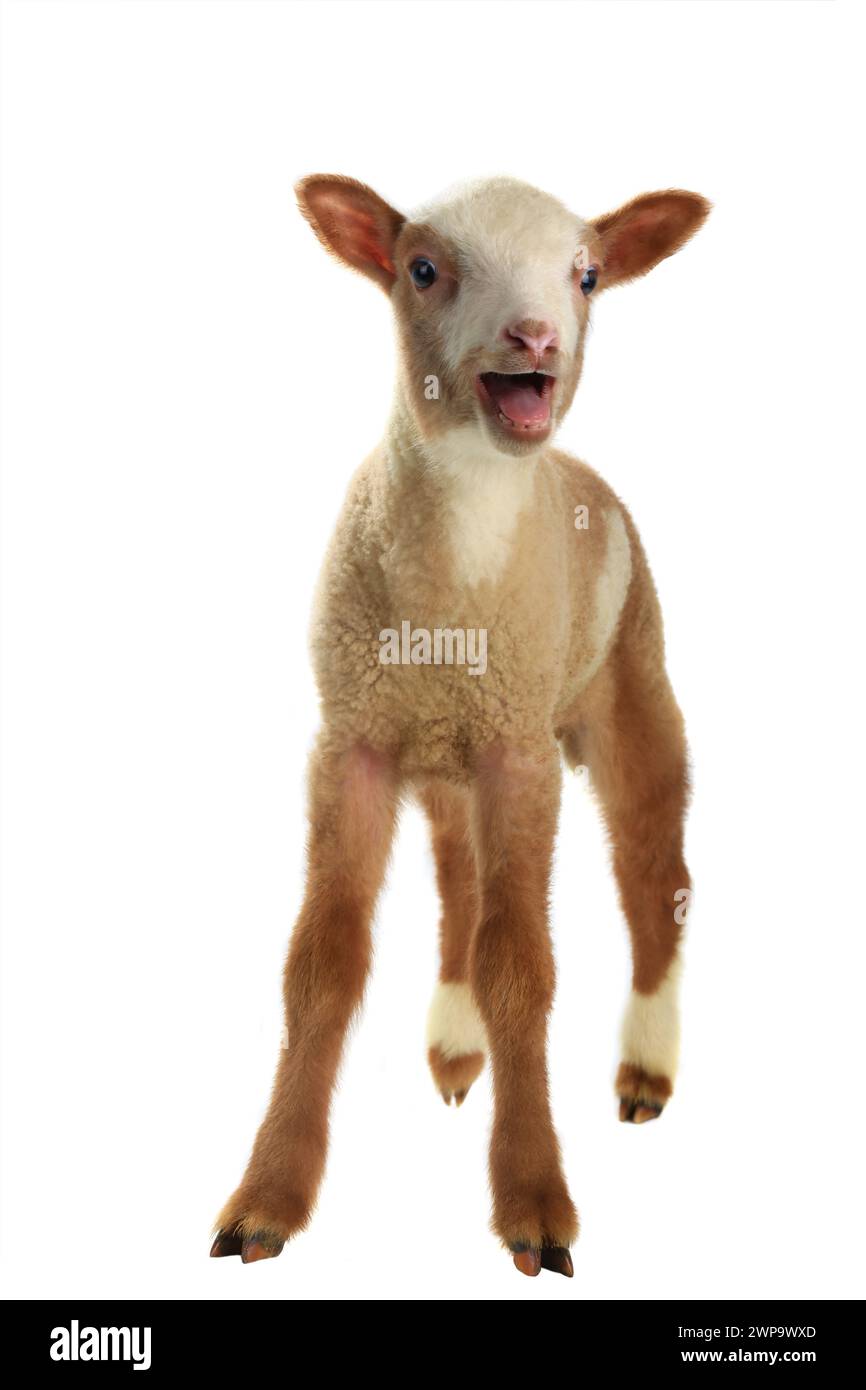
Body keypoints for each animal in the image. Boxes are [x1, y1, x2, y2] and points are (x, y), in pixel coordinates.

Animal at [211, 174, 709, 1276]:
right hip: (446, 757)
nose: (535, 337)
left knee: (655, 874)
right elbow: (321, 963)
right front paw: (267, 1198)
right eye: (423, 268)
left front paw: (534, 1202)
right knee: (459, 890)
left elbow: (521, 963)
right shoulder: (350, 741)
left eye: (587, 275)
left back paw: (646, 1068)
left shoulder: (520, 752)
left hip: (629, 690)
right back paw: (454, 1041)